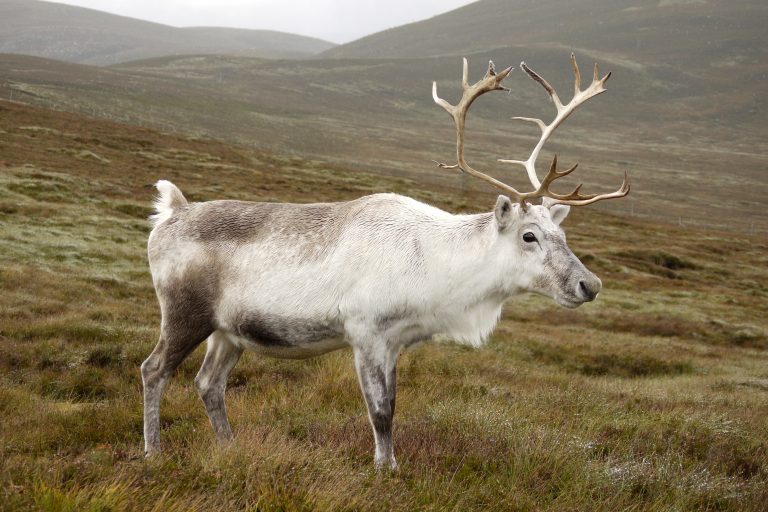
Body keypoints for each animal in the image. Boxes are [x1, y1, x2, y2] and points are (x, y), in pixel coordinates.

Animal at [141, 54, 629, 470]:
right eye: (529, 235)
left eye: (563, 235)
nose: (590, 285)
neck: (438, 265)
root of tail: (171, 212)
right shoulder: (366, 333)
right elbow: (379, 411)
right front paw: (384, 469)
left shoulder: (396, 341)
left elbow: (393, 405)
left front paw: (390, 463)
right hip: (185, 314)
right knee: (154, 370)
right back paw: (153, 451)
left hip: (229, 331)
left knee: (208, 383)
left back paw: (229, 445)